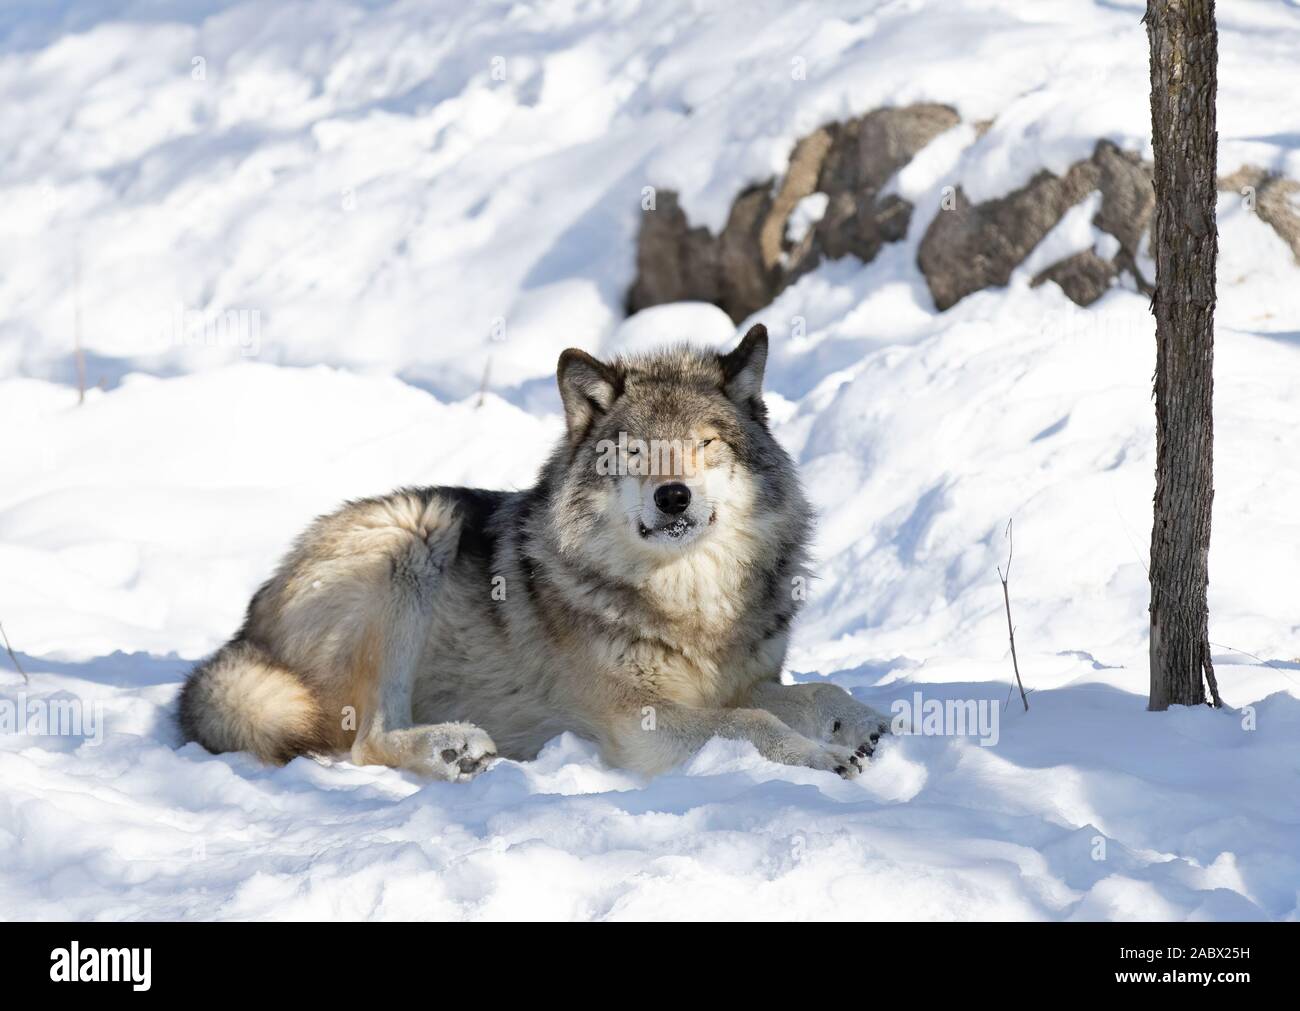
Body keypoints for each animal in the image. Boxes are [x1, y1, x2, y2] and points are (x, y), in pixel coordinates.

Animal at [178, 324, 891, 781]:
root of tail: (248, 627)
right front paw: (823, 759)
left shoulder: (744, 680)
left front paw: (866, 725)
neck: (691, 598)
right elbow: (754, 724)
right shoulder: (642, 720)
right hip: (413, 536)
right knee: (364, 742)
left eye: (707, 443)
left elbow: (813, 691)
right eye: (633, 451)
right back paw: (453, 748)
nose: (673, 497)